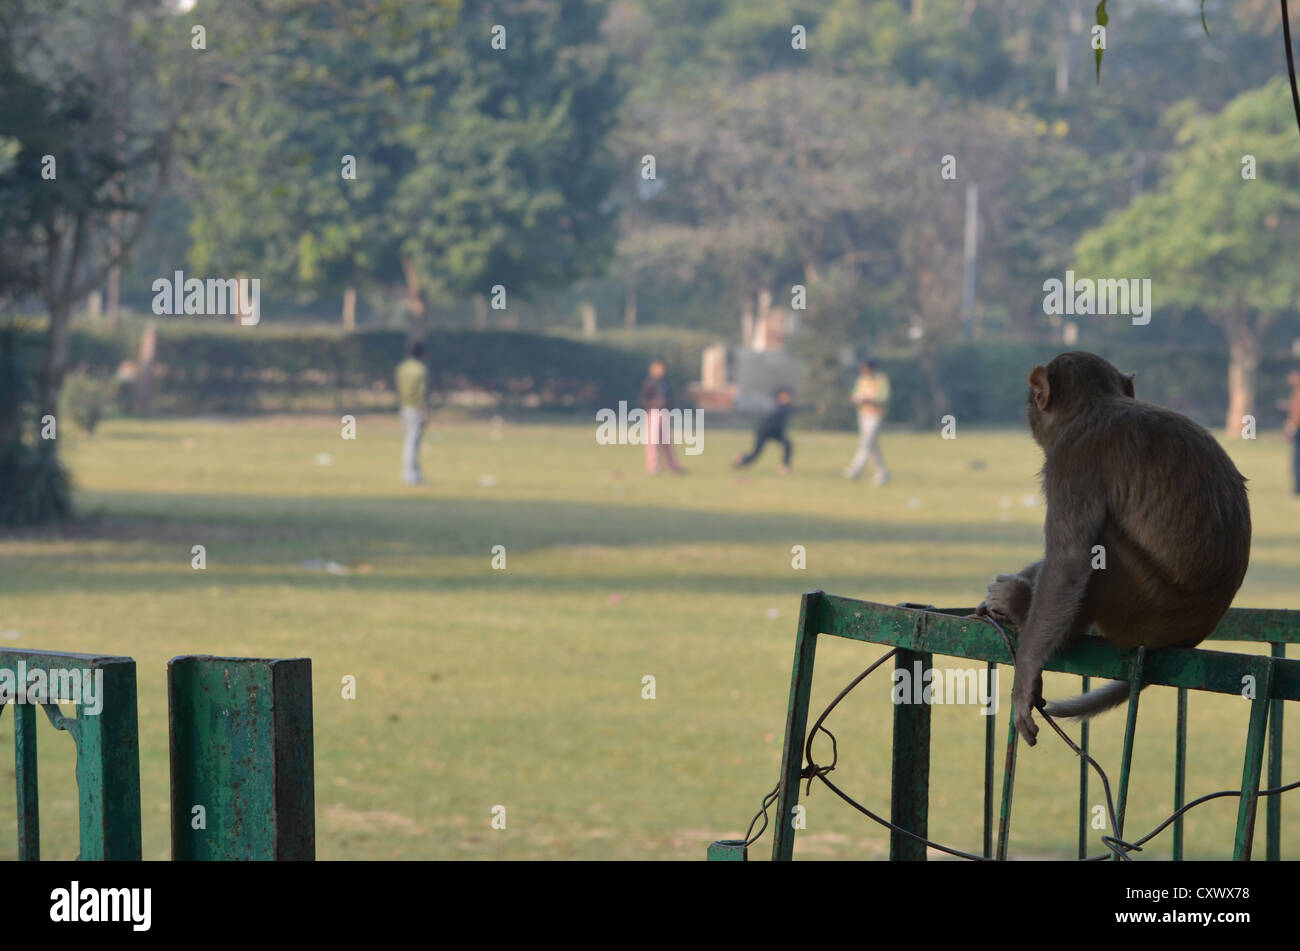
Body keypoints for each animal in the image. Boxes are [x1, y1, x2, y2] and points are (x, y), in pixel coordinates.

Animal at [977, 352, 1251, 746]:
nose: (1029, 405)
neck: (1094, 405)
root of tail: (1191, 635)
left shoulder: (1069, 461)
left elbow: (1068, 563)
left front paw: (1025, 678)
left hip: (1139, 608)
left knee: (1098, 544)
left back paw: (1029, 612)